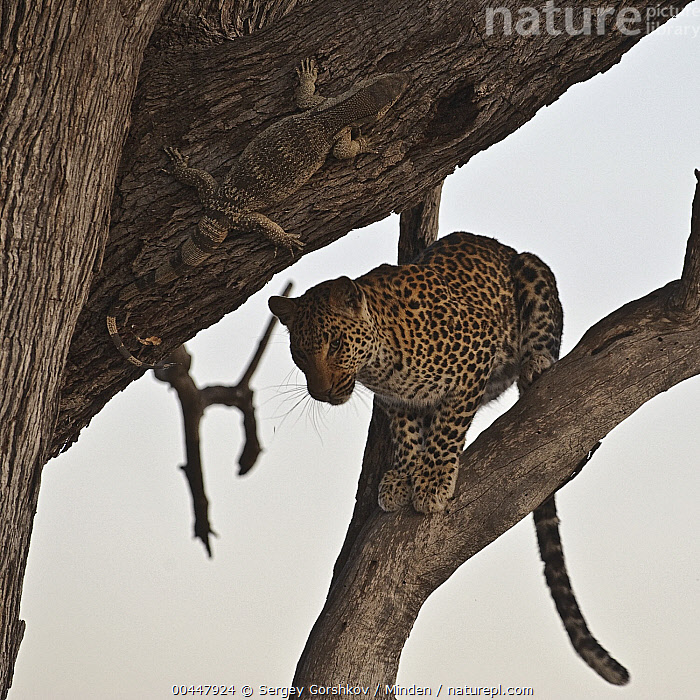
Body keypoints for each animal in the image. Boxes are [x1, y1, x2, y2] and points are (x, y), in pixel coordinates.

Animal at [269, 231, 629, 685]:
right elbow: (406, 434)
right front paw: (402, 477)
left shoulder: (476, 353)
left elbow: (448, 426)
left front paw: (433, 480)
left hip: (530, 270)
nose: (320, 391)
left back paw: (536, 363)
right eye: (299, 353)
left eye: (335, 344)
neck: (379, 363)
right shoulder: (397, 401)